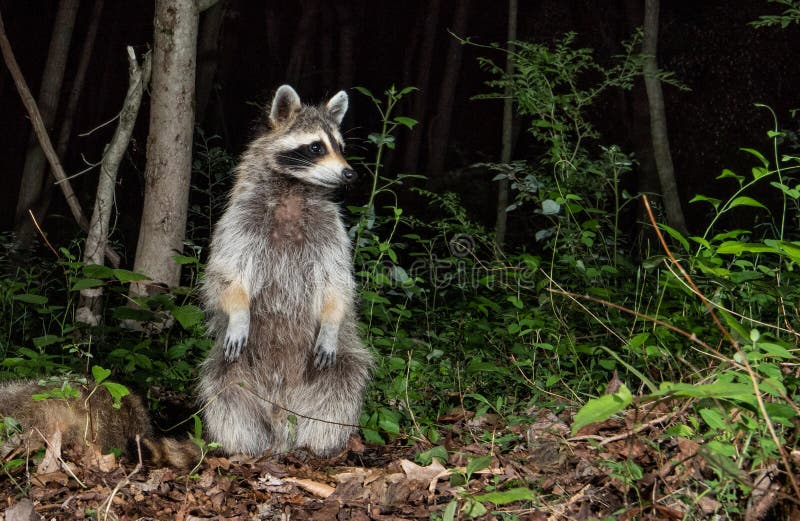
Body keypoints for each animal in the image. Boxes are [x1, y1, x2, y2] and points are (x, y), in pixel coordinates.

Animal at [198, 85, 372, 457]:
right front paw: (238, 312)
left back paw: (319, 443)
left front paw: (331, 322)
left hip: (334, 367)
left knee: (343, 385)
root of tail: (281, 421)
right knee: (224, 390)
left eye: (341, 146)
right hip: (236, 367)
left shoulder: (330, 230)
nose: (350, 174)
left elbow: (337, 282)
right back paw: (241, 445)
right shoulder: (239, 221)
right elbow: (227, 274)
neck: (294, 190)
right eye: (316, 147)